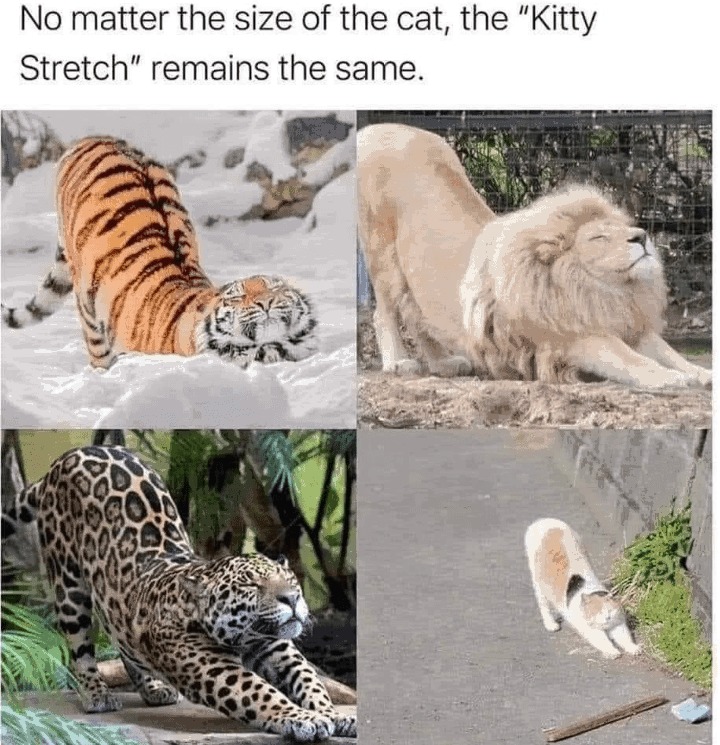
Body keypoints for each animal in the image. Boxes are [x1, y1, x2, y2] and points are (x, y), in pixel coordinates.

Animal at [2, 136, 318, 369]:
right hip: (86, 302)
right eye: (238, 297)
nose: (266, 302)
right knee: (97, 349)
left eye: (275, 289)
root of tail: (95, 138)